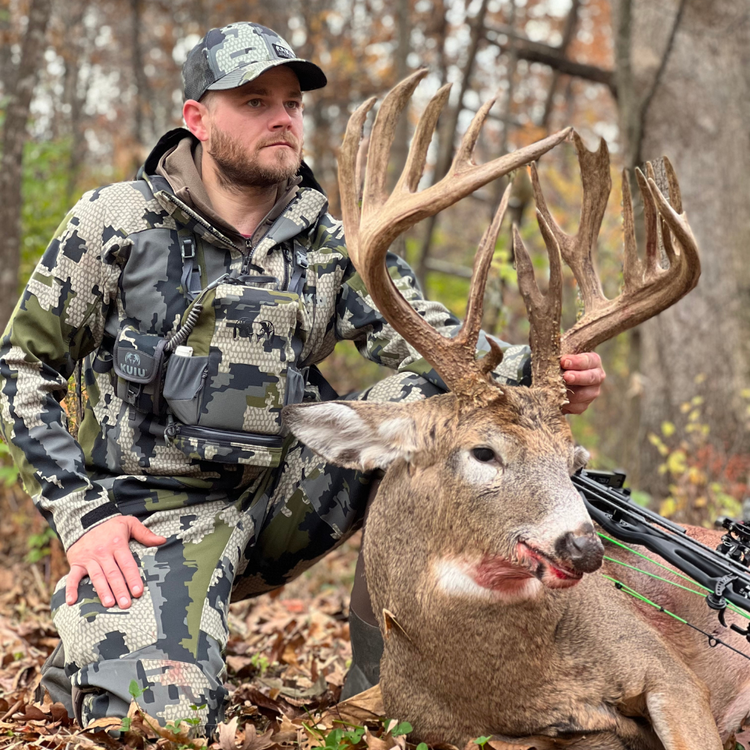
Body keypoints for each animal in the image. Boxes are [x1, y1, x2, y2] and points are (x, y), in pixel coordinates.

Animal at [283, 70, 750, 749]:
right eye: (483, 451)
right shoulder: (430, 718)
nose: (584, 548)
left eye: (575, 460)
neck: (513, 683)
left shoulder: (669, 674)